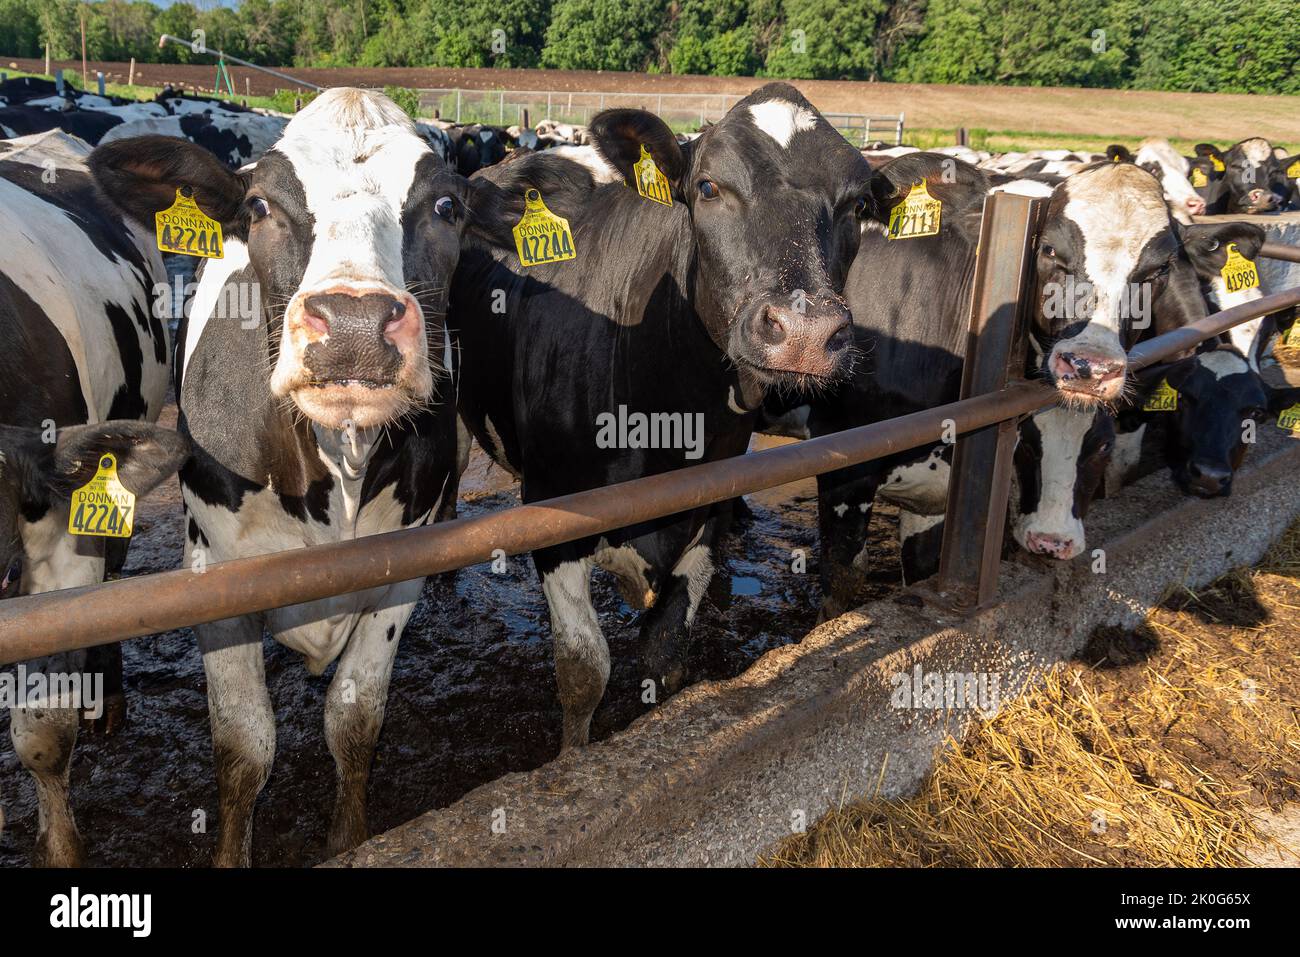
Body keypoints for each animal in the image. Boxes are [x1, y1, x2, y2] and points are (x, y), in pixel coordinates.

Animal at [88, 88, 489, 866]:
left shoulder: (401, 573)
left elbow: (355, 720)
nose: (356, 325)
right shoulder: (213, 576)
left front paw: (348, 838)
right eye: (261, 206)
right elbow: (245, 747)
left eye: (446, 205)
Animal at [452, 83, 872, 748]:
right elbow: (583, 672)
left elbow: (665, 656)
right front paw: (572, 758)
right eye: (708, 186)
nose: (806, 332)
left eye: (858, 203)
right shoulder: (551, 509)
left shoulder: (703, 512)